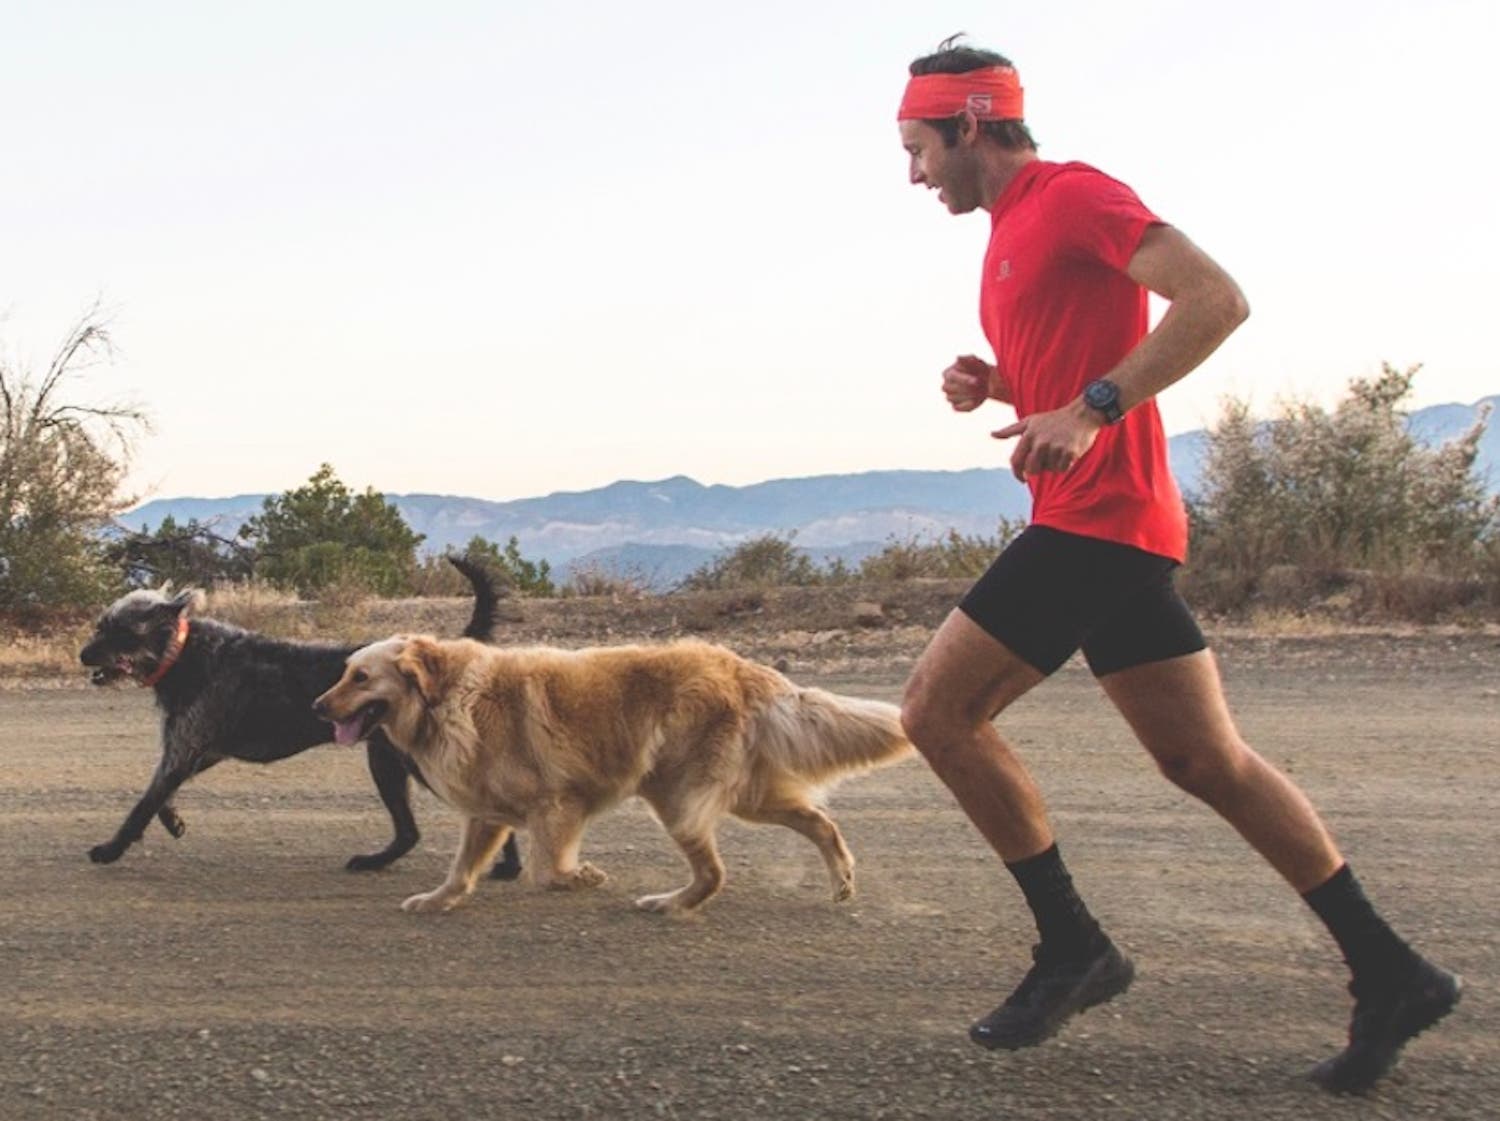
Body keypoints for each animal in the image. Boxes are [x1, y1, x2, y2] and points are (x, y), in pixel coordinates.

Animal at [78, 557, 521, 878]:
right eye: (100, 625)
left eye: (120, 632)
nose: (83, 655)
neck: (183, 652)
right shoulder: (196, 750)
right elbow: (162, 795)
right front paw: (173, 822)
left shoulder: (185, 749)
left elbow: (144, 803)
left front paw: (111, 849)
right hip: (388, 760)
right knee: (413, 831)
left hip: (407, 760)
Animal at [313, 634, 913, 915]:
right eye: (344, 673)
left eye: (361, 677)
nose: (317, 707)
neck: (446, 696)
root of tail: (740, 667)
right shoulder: (487, 815)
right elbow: (461, 870)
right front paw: (438, 900)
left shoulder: (558, 804)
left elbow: (547, 871)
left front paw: (582, 877)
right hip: (742, 794)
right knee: (817, 821)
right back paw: (841, 879)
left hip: (678, 796)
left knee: (714, 872)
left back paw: (669, 903)